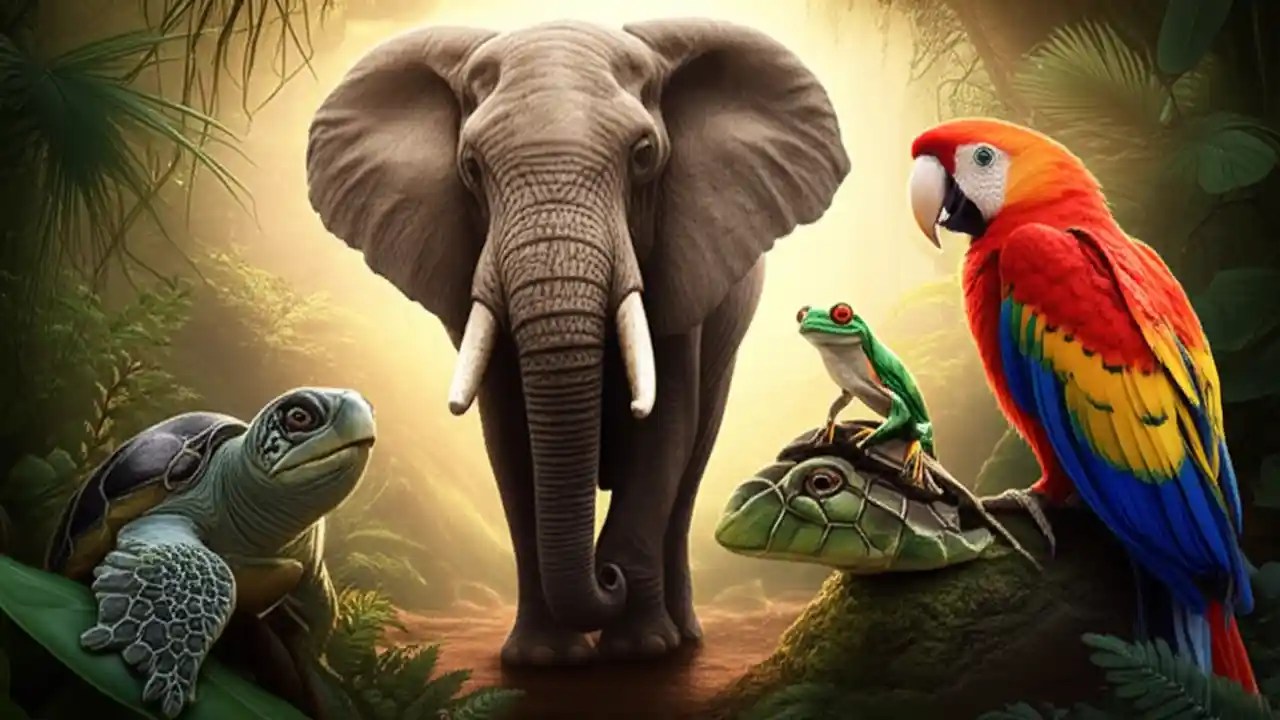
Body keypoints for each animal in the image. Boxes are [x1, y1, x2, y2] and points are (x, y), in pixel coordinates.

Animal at [305, 18, 849, 665]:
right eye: (470, 167)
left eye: (644, 156)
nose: (607, 574)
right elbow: (510, 441)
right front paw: (544, 660)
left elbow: (662, 432)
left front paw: (640, 651)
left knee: (692, 464)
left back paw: (684, 637)